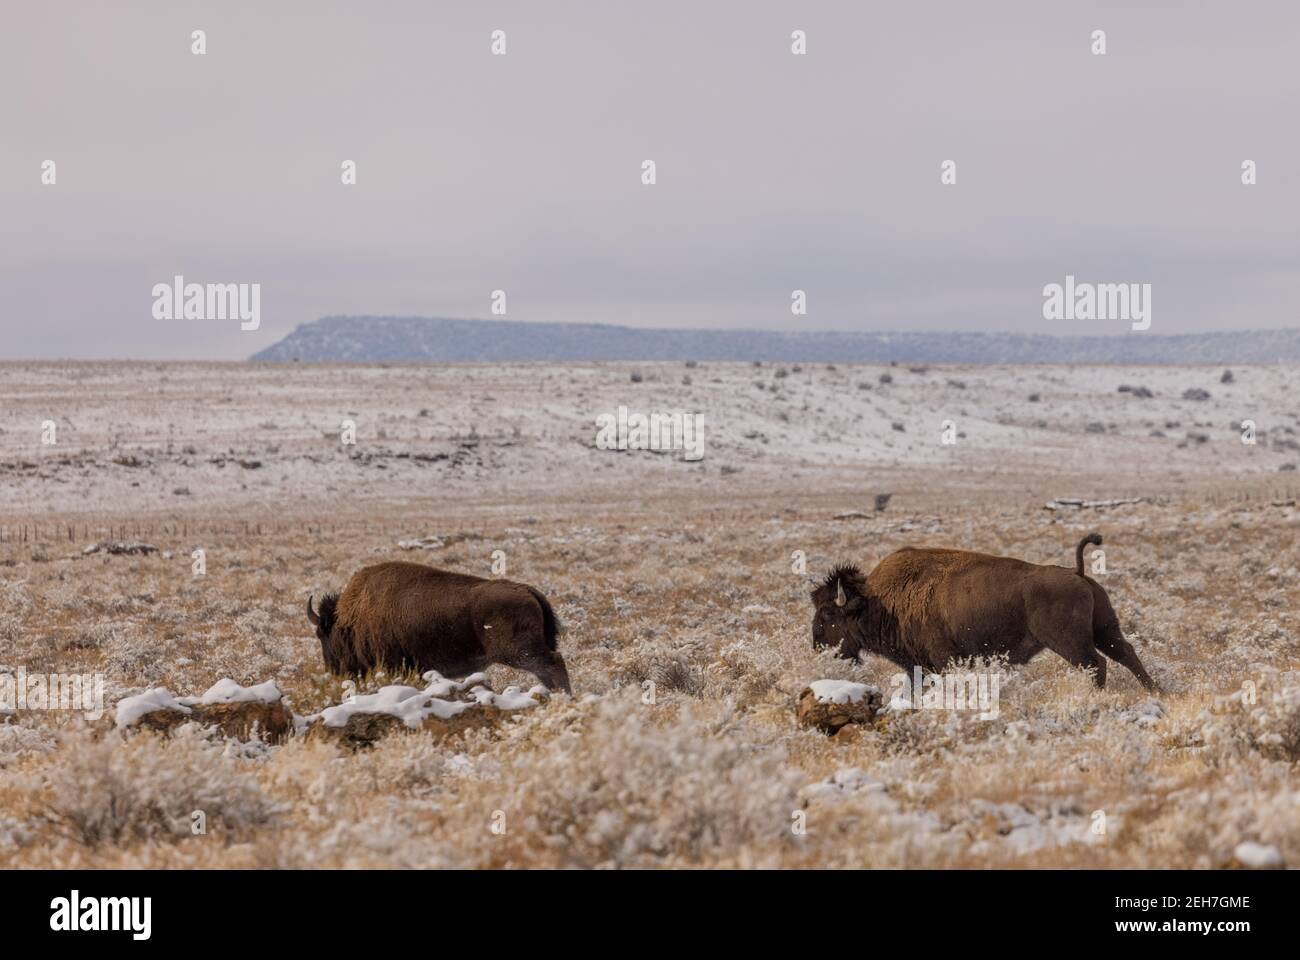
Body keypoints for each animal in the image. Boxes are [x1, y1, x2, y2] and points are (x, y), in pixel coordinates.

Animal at [307, 561, 572, 694]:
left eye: (322, 634)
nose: (333, 671)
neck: (352, 615)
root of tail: (528, 590)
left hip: (520, 652)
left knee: (553, 663)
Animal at [810, 533, 1158, 690]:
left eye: (827, 615)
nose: (816, 647)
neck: (878, 600)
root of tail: (1077, 572)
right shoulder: (919, 666)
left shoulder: (943, 659)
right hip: (1105, 629)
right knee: (1126, 653)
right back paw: (1156, 693)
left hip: (1069, 642)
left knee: (1096, 664)